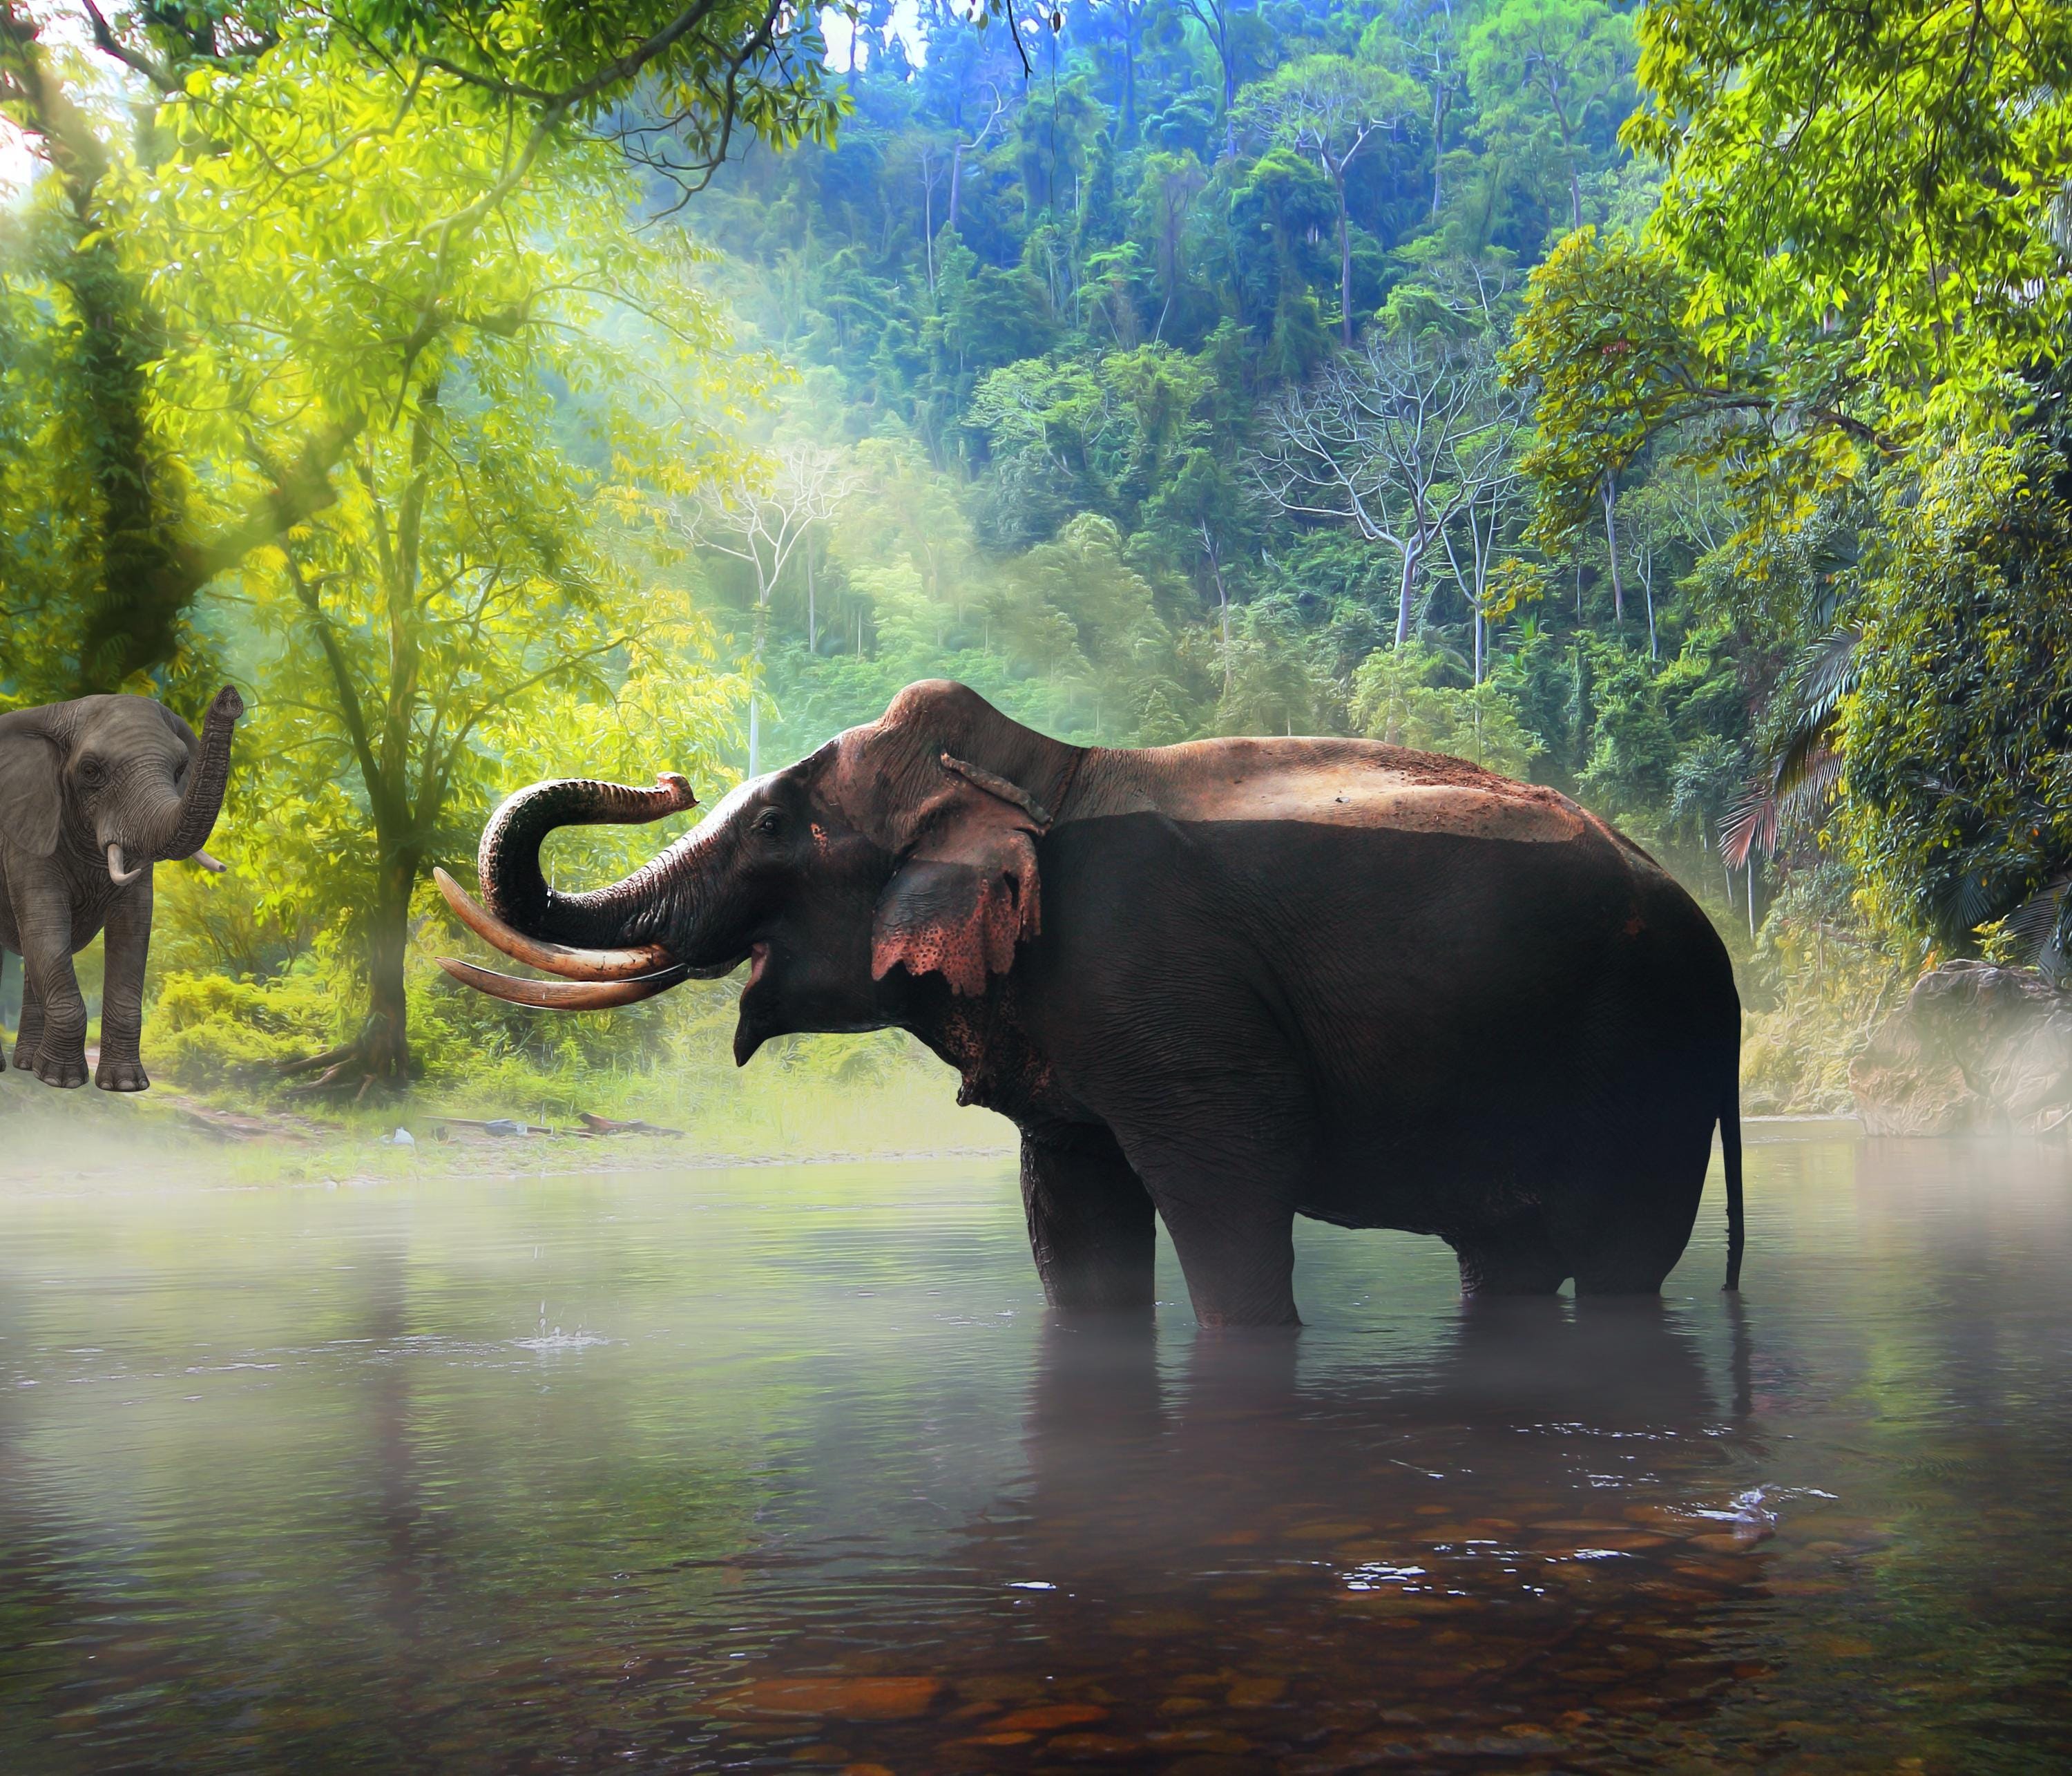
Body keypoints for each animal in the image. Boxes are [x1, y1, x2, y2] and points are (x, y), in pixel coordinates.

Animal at [0, 686, 244, 1091]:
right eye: (90, 771)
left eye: (180, 770)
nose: (229, 699)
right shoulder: (24, 834)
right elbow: (45, 924)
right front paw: (62, 1081)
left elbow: (132, 928)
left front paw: (125, 1086)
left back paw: (25, 1065)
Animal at [438, 680, 1743, 1326]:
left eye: (770, 825)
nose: (666, 776)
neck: (1038, 772)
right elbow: (1069, 1211)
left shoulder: (1169, 994)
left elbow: (1231, 1189)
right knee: (1506, 1258)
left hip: (1653, 1057)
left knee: (1625, 1259)